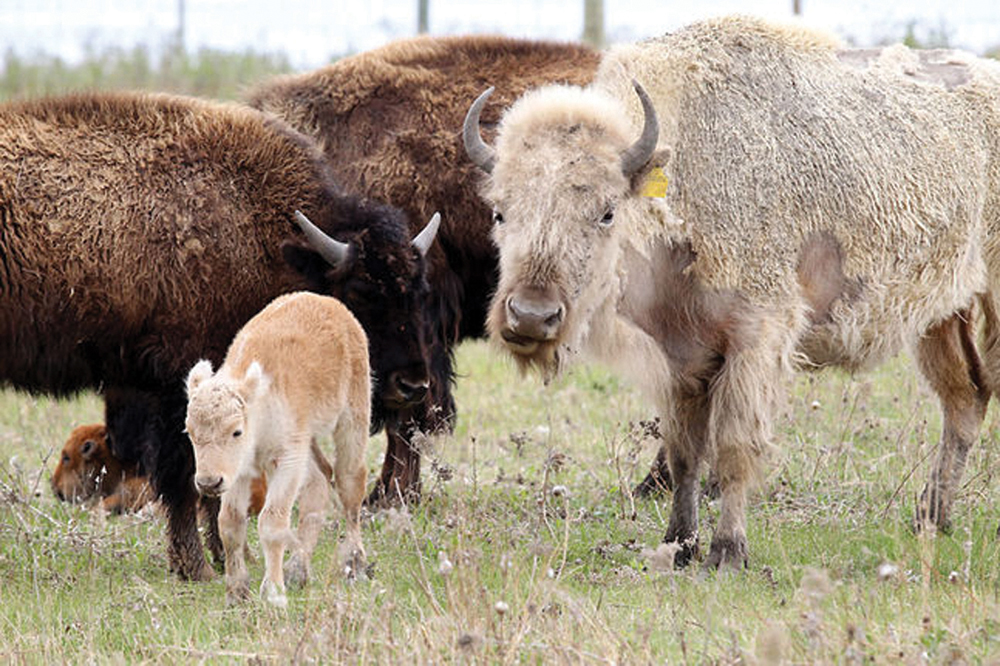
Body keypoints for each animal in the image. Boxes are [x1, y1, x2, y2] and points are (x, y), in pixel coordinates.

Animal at [185, 291, 370, 607]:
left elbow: (272, 523)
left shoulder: (286, 460)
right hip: (308, 442)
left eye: (236, 431)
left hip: (352, 420)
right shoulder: (240, 471)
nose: (208, 482)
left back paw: (354, 563)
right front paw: (236, 592)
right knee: (319, 481)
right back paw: (298, 570)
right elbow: (230, 524)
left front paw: (273, 592)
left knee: (349, 486)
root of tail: (332, 306)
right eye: (190, 433)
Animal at [463, 16, 1000, 569]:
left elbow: (734, 448)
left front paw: (727, 551)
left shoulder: (755, 340)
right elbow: (684, 454)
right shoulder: (682, 360)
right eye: (500, 211)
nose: (531, 316)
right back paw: (930, 518)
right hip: (942, 315)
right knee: (965, 397)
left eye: (607, 212)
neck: (683, 177)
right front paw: (678, 545)